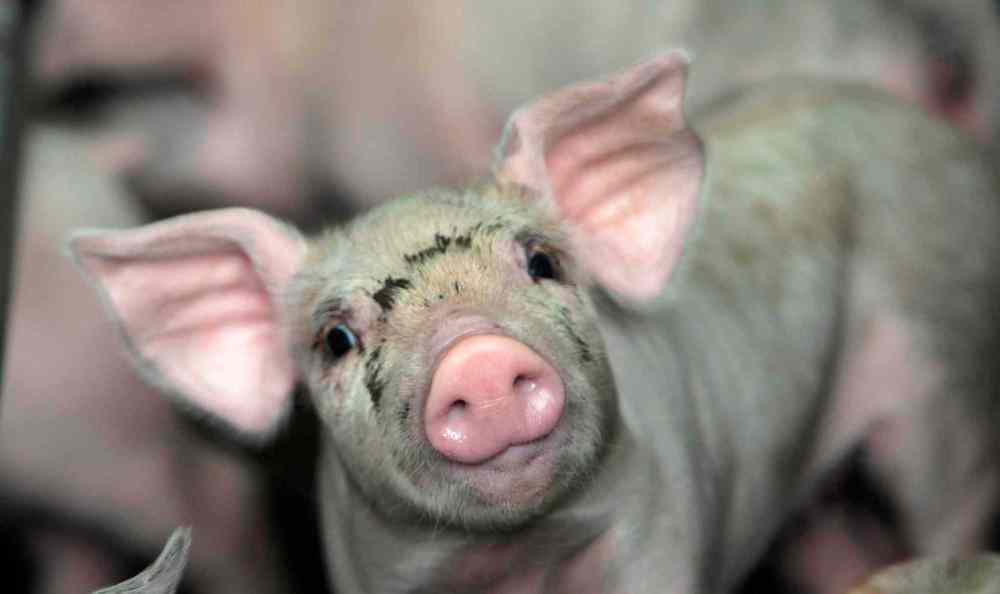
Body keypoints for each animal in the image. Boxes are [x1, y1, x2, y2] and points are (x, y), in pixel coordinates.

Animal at [69, 54, 1000, 593]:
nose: (477, 359)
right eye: (336, 339)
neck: (514, 562)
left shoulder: (662, 528)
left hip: (950, 390)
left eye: (543, 263)